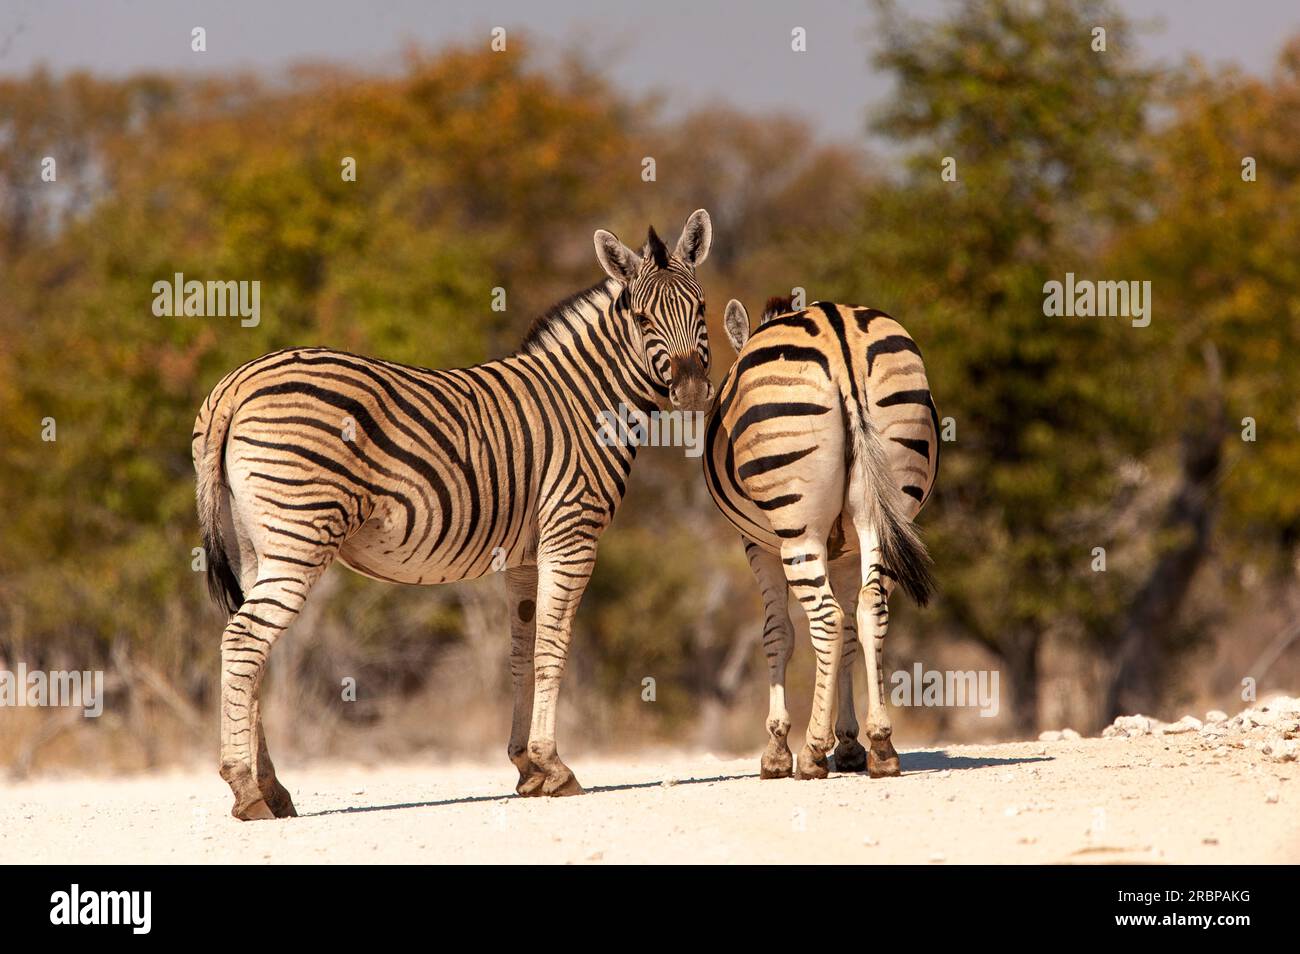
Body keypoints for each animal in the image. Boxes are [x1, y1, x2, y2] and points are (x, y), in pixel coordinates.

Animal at [192, 210, 713, 819]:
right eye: (641, 316)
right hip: (299, 535)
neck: (586, 401)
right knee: (243, 641)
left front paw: (528, 768)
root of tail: (236, 384)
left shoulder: (524, 555)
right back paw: (247, 791)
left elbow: (520, 651)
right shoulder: (572, 533)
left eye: (701, 308)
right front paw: (556, 768)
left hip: (258, 543)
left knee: (252, 649)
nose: (692, 391)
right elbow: (553, 646)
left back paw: (273, 790)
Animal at [704, 295, 938, 780]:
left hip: (798, 529)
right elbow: (852, 631)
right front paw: (849, 743)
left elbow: (778, 633)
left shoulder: (758, 546)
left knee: (826, 619)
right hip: (885, 511)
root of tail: (838, 332)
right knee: (871, 608)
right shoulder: (846, 551)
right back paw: (883, 747)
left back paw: (811, 753)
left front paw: (778, 749)